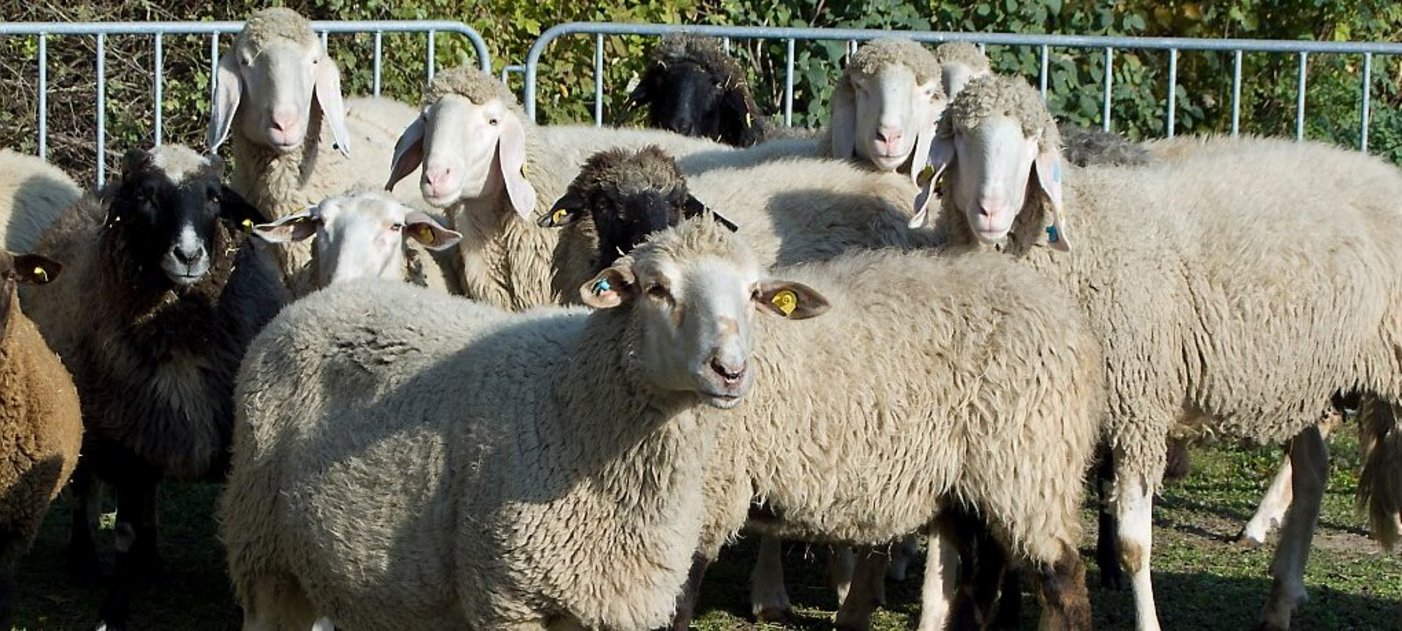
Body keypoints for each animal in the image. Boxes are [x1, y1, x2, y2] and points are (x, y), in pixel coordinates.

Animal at [20, 144, 287, 630]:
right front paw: (112, 612)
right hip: (86, 413)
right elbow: (122, 532)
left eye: (214, 196)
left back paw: (150, 561)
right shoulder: (124, 437)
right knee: (85, 489)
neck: (179, 330)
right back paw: (84, 559)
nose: (188, 254)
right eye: (144, 196)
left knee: (148, 496)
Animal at [219, 218, 830, 630]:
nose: (730, 370)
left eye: (755, 295)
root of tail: (322, 300)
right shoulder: (507, 598)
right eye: (657, 289)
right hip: (260, 547)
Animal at [916, 73, 1402, 630]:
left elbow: (1133, 546)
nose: (991, 211)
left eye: (1031, 142)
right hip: (1296, 378)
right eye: (960, 134)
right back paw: (1280, 600)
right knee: (1313, 472)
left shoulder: (1138, 408)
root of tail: (1382, 170)